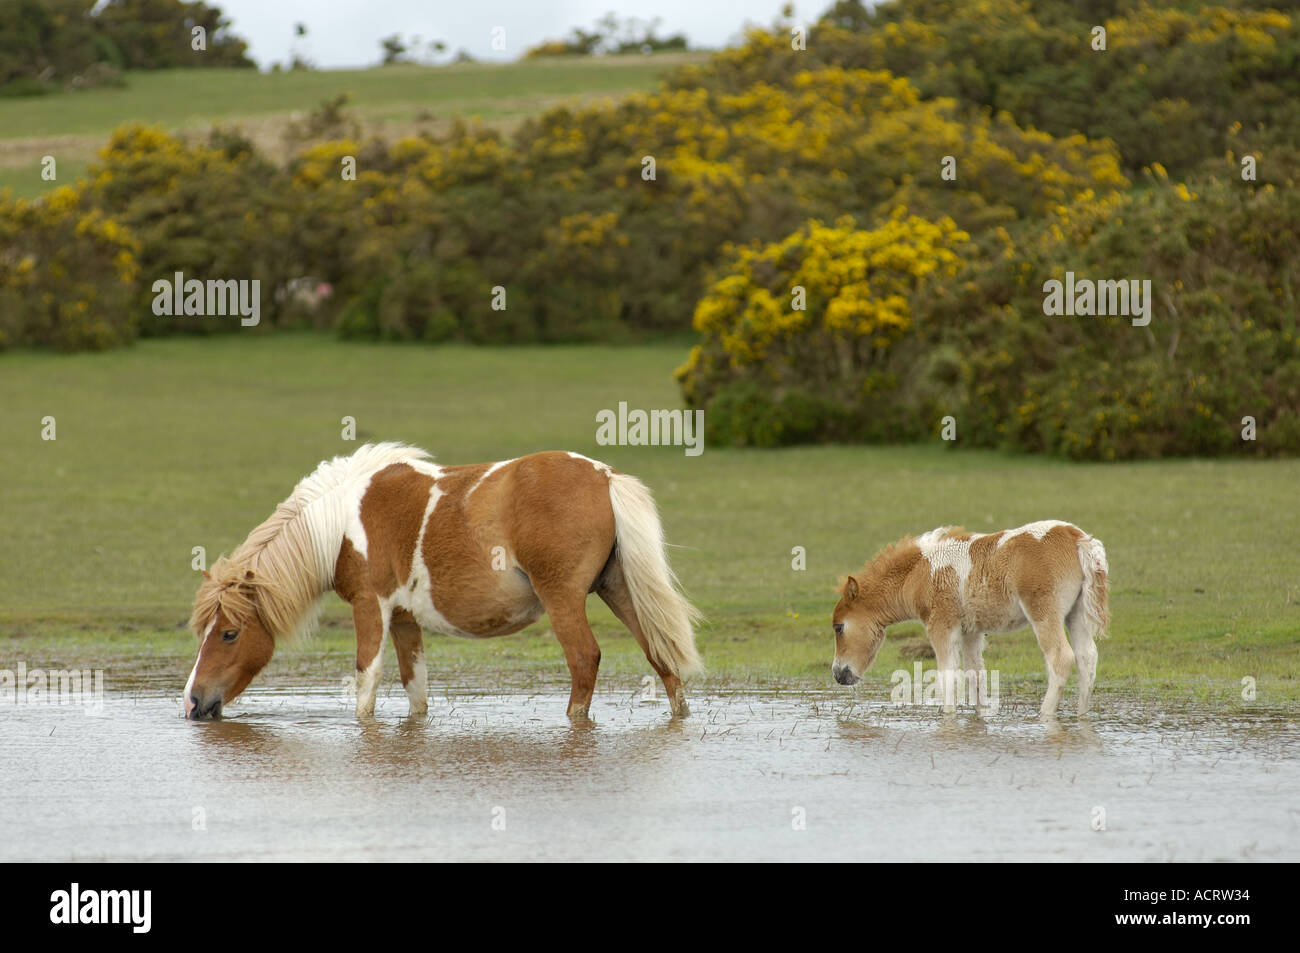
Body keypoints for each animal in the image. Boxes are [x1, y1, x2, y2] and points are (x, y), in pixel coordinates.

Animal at [184, 443, 702, 722]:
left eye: (229, 633)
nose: (193, 701)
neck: (341, 521)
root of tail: (604, 475)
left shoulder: (370, 607)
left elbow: (366, 684)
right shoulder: (404, 619)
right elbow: (416, 691)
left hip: (564, 599)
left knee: (583, 660)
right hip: (620, 592)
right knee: (661, 657)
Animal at [830, 521, 1110, 719]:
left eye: (839, 627)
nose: (838, 674)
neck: (921, 572)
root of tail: (1078, 538)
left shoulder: (942, 624)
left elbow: (948, 677)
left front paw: (947, 718)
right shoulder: (970, 631)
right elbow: (976, 675)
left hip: (1043, 612)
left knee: (1060, 657)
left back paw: (1045, 714)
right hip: (1076, 614)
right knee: (1087, 657)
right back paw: (1082, 715)